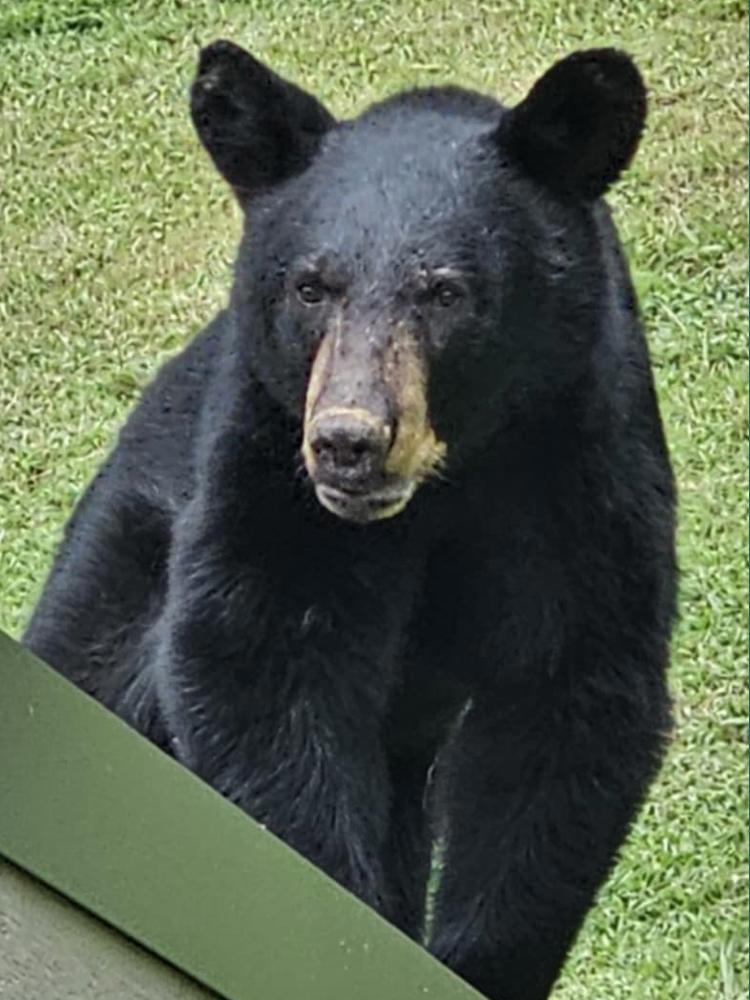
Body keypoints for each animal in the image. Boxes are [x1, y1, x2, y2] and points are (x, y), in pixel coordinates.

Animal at [24, 40, 677, 1000]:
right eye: (311, 286)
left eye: (445, 292)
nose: (348, 442)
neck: (448, 483)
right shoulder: (267, 463)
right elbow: (262, 665)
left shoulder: (584, 466)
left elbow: (569, 699)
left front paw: (474, 960)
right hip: (121, 559)